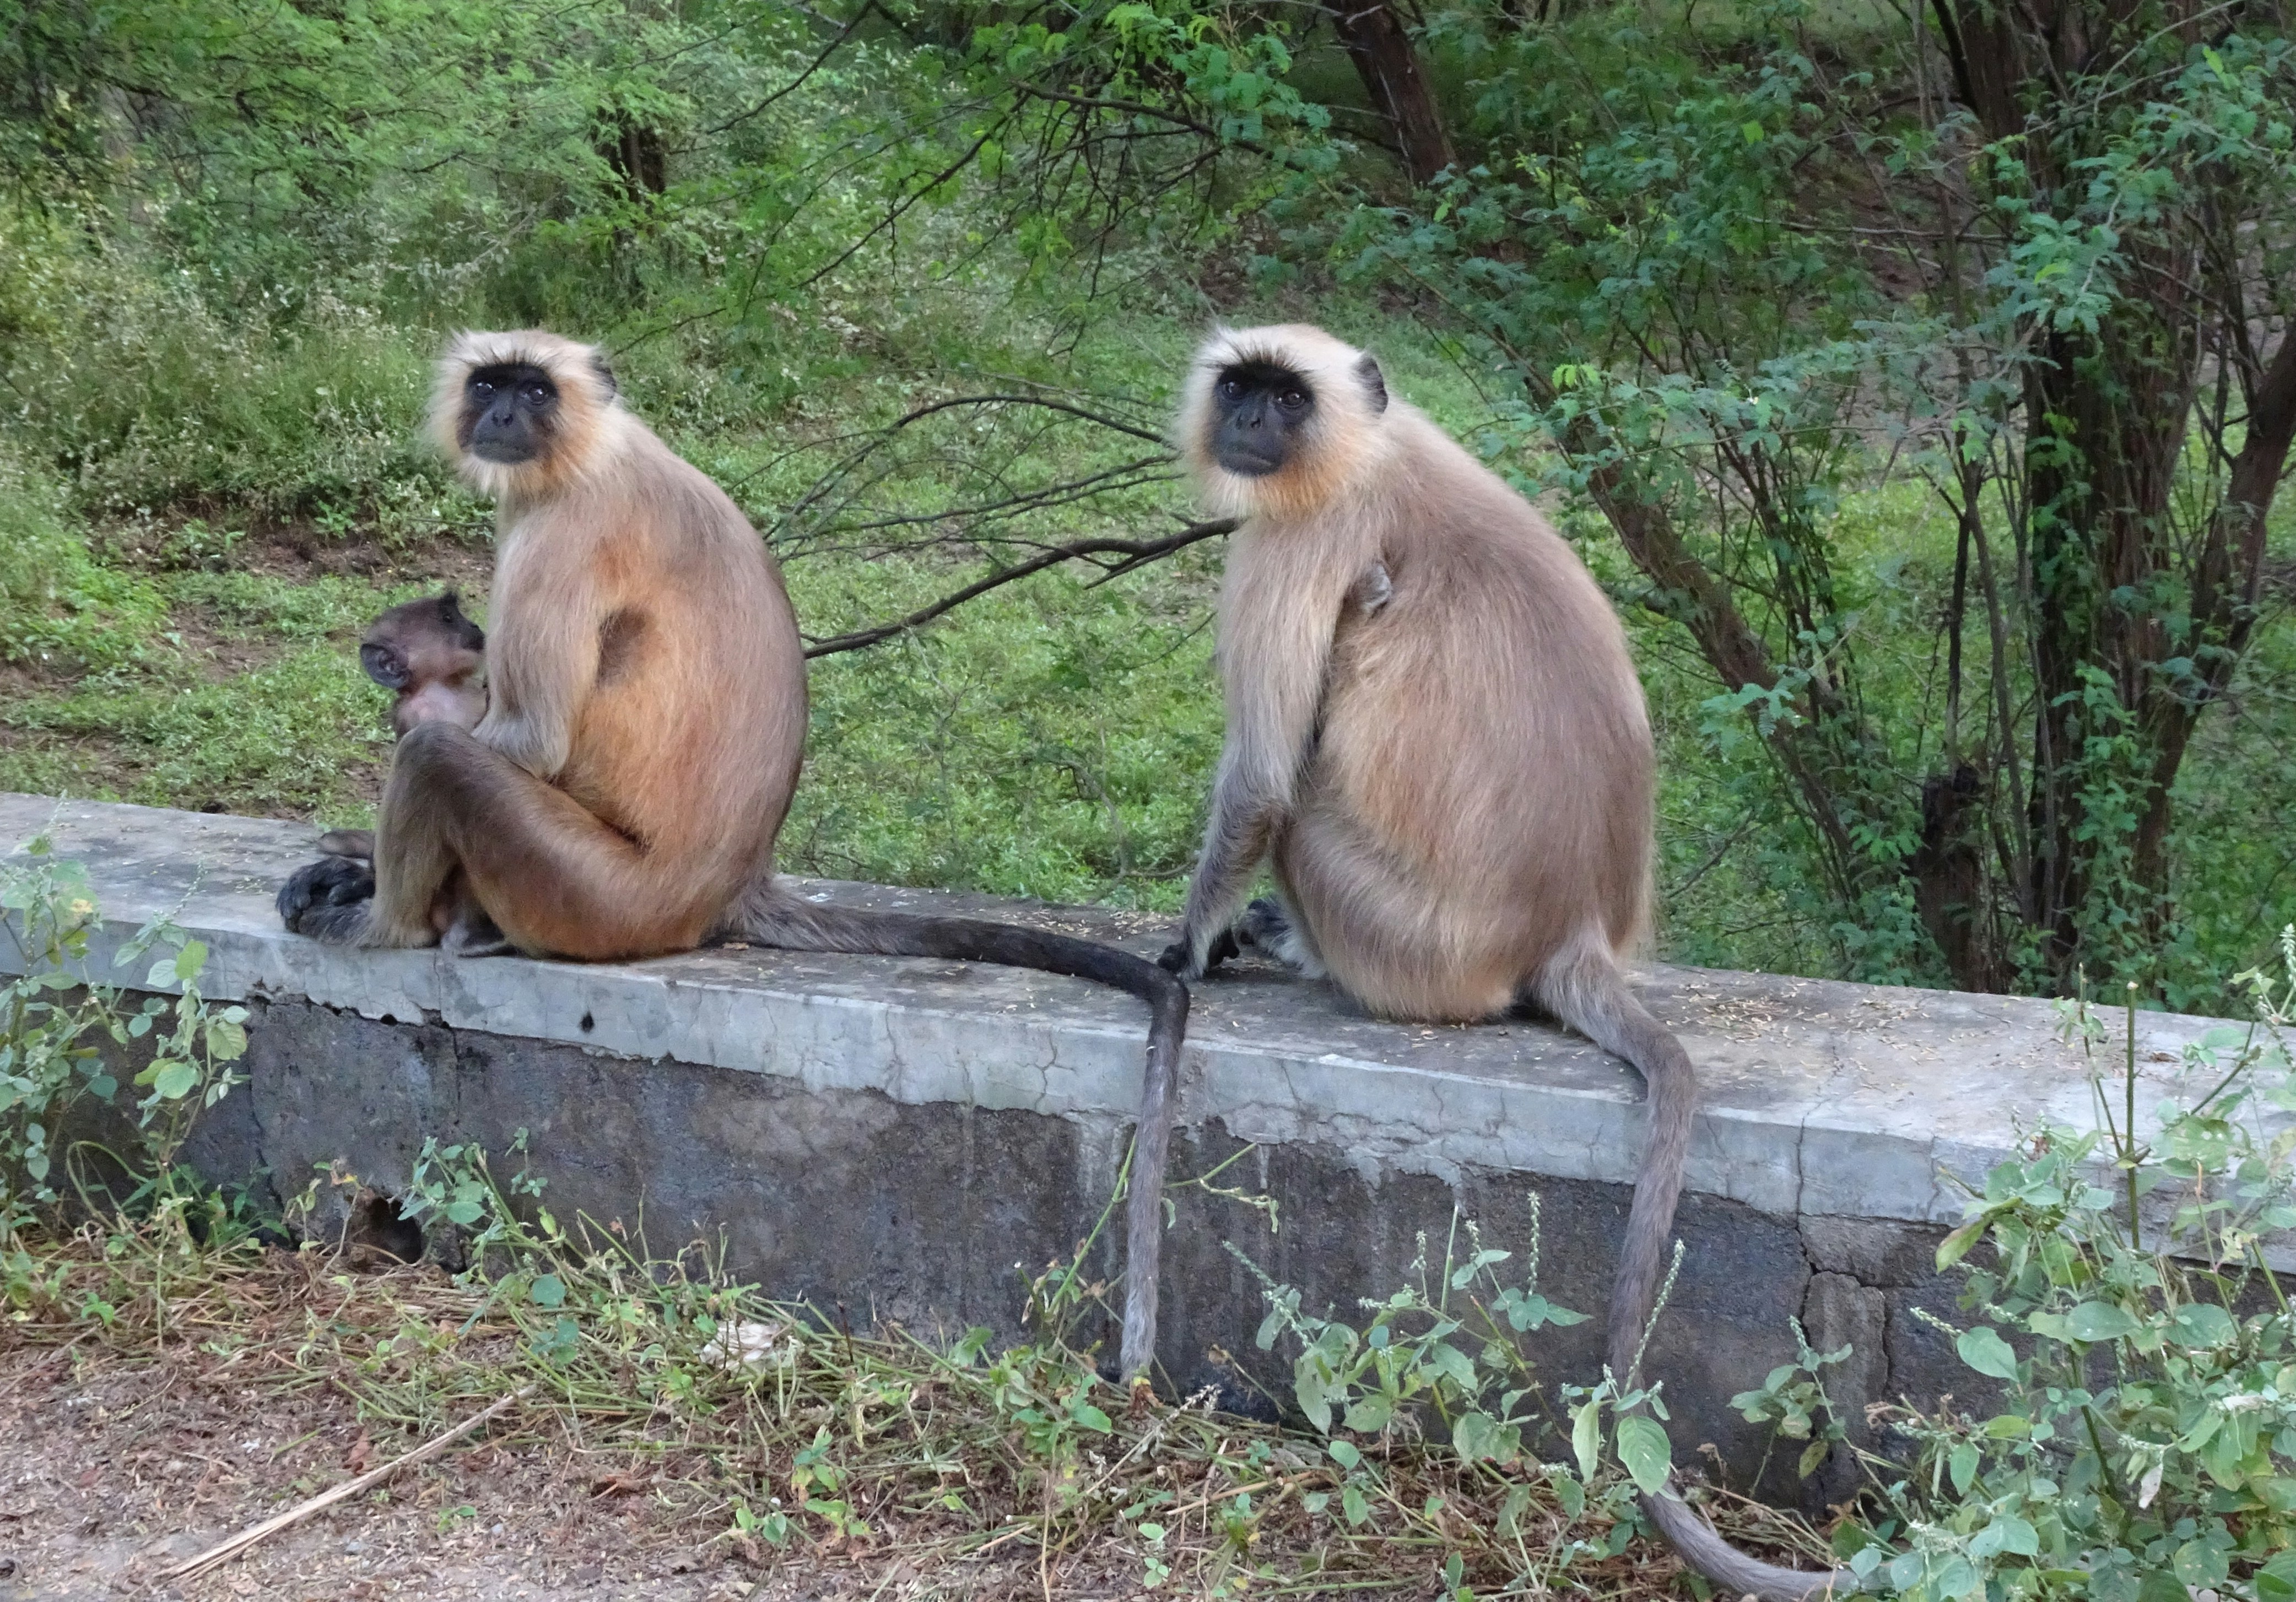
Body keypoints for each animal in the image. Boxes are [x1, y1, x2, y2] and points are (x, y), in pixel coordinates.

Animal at [274, 331, 1188, 1381]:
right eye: (492, 383)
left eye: (534, 391)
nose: (501, 414)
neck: (599, 452)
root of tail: (727, 889)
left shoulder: (556, 531)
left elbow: (525, 738)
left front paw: (361, 865)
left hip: (594, 891)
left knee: (438, 757)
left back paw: (400, 924)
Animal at [1156, 325, 1851, 1602]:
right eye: (1242, 387)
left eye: (1287, 397)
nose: (1251, 423)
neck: (1372, 453)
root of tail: (1566, 927)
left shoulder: (1294, 542)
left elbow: (1264, 781)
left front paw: (1187, 946)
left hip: (1398, 934)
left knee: (1306, 782)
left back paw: (1294, 953)